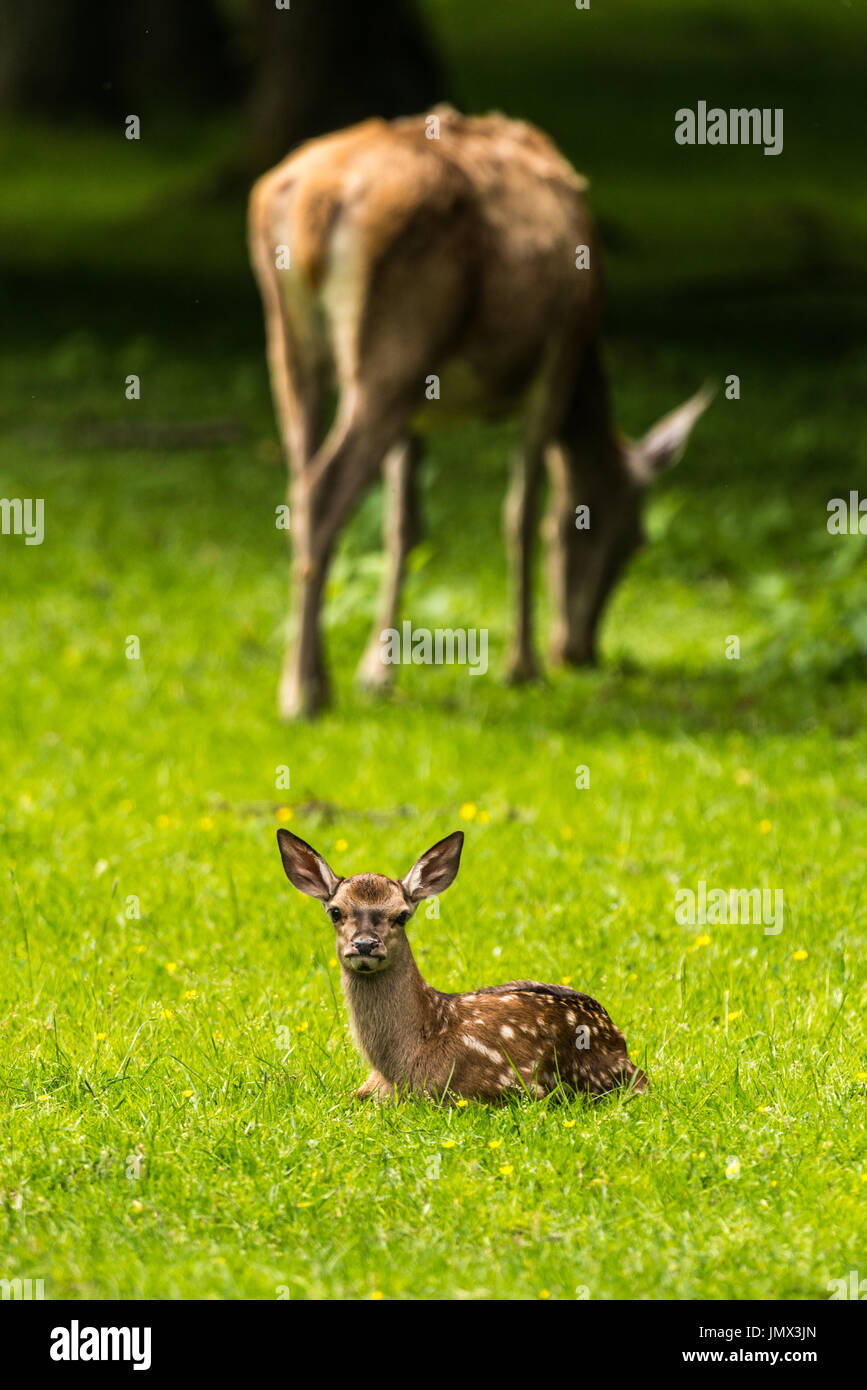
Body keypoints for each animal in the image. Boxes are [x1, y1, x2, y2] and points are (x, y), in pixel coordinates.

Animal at [249, 105, 711, 718]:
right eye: (634, 537)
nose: (579, 650)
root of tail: (313, 205)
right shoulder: (556, 362)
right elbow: (522, 513)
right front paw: (523, 667)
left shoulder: (419, 410)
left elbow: (403, 524)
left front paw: (378, 672)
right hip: (391, 355)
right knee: (324, 488)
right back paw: (304, 693)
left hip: (292, 350)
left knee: (299, 482)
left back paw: (313, 676)